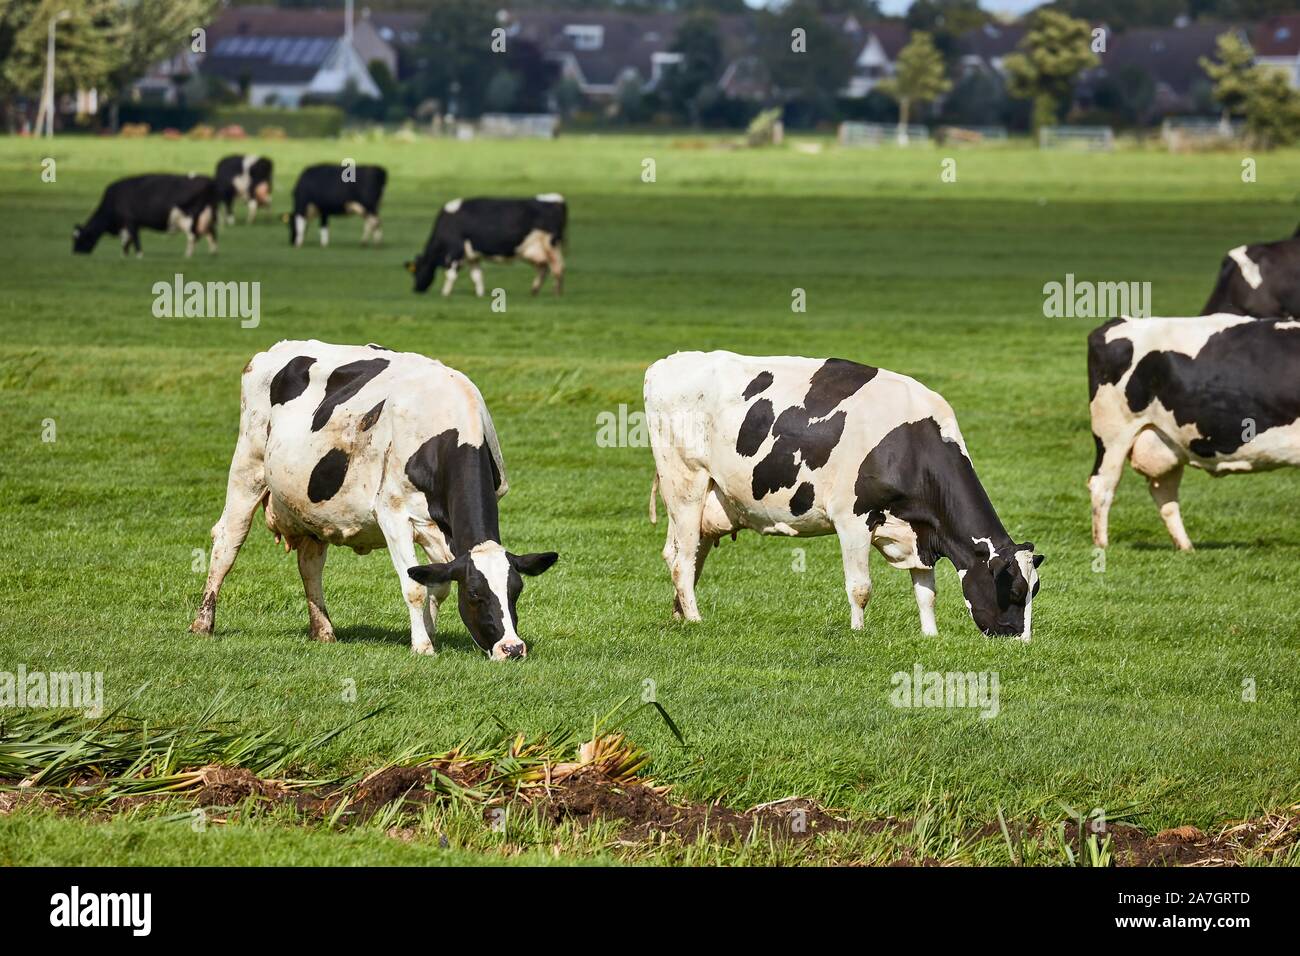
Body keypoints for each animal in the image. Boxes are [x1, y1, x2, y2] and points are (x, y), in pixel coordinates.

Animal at [73, 173, 218, 258]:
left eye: (80, 239)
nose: (74, 252)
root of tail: (208, 180)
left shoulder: (131, 221)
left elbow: (134, 239)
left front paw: (139, 256)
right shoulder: (125, 225)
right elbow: (126, 241)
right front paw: (124, 256)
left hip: (190, 217)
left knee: (193, 237)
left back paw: (187, 256)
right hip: (207, 218)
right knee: (211, 235)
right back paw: (212, 254)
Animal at [189, 340, 559, 660]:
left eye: (516, 591)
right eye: (475, 595)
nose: (512, 648)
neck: (447, 428)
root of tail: (277, 349)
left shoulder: (438, 528)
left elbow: (436, 583)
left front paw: (429, 632)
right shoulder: (392, 513)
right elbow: (414, 587)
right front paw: (422, 646)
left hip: (311, 510)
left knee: (310, 564)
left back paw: (323, 630)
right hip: (247, 467)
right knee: (227, 542)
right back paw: (203, 624)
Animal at [405, 195, 566, 297]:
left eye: (416, 270)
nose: (416, 288)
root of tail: (557, 200)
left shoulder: (455, 250)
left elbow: (450, 275)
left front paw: (445, 294)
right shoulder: (472, 256)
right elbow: (477, 276)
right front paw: (480, 294)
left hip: (551, 245)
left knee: (557, 268)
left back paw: (556, 293)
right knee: (544, 269)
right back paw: (534, 291)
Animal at [645, 351, 1044, 640]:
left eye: (1035, 591)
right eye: (1013, 592)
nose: (1021, 640)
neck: (911, 446)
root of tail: (666, 363)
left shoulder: (920, 532)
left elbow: (926, 591)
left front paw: (930, 636)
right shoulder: (853, 519)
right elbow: (860, 587)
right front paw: (858, 632)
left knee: (687, 556)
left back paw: (680, 615)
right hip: (686, 483)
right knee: (682, 559)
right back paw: (695, 619)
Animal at [1088, 314, 1300, 551]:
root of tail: (1120, 320)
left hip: (1166, 442)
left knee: (1164, 493)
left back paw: (1186, 547)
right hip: (1114, 435)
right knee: (1103, 485)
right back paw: (1102, 545)